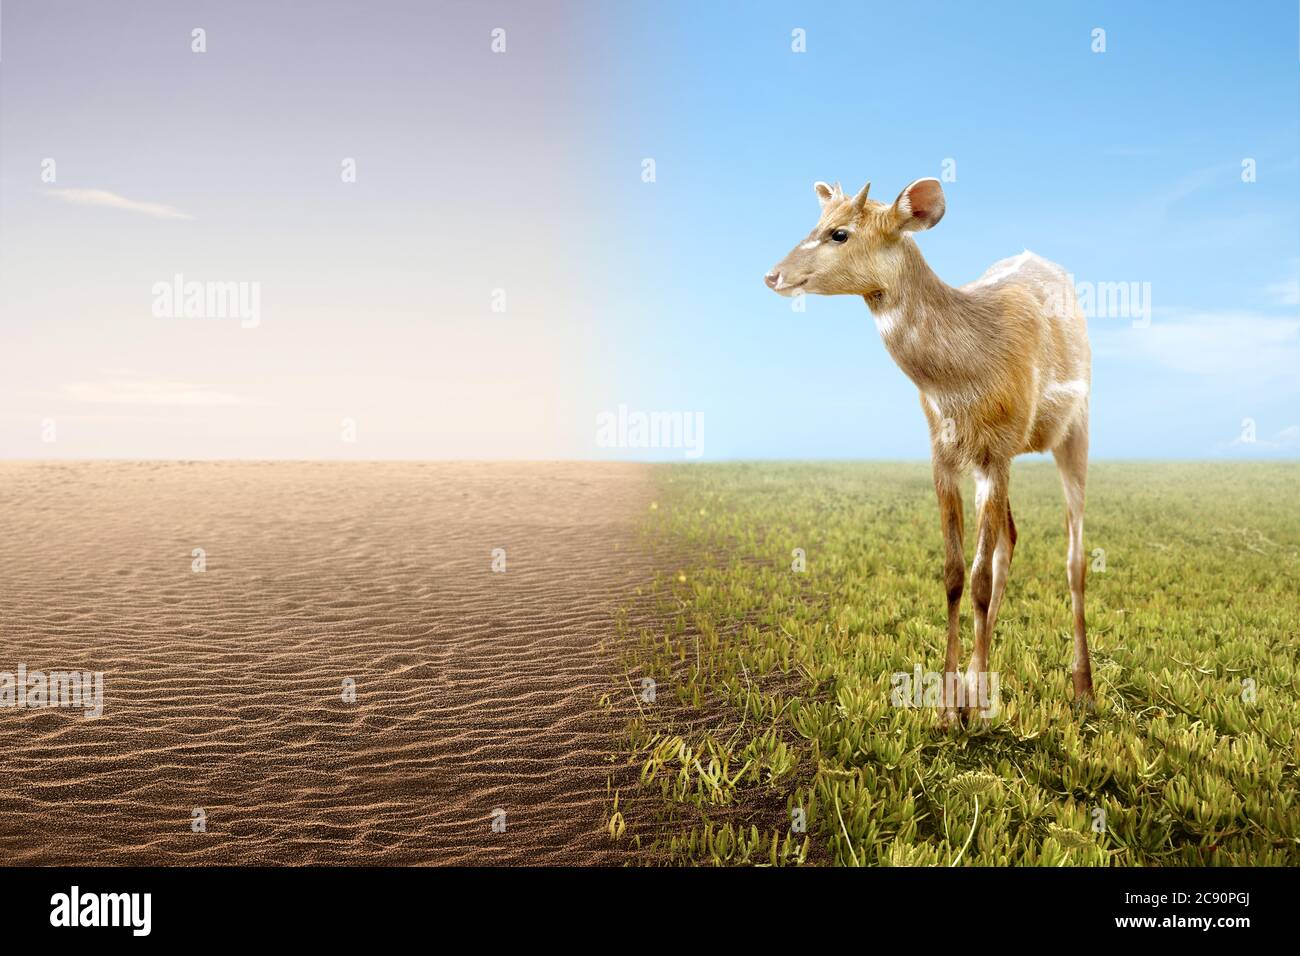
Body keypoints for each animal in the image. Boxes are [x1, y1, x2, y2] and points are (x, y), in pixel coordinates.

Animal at [764, 178, 1093, 724]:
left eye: (839, 232)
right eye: (817, 221)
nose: (773, 275)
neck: (961, 381)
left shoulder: (997, 451)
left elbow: (979, 577)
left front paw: (976, 705)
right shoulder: (944, 452)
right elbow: (955, 574)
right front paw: (947, 705)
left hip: (1076, 428)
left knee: (1074, 556)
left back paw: (1082, 687)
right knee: (1011, 540)